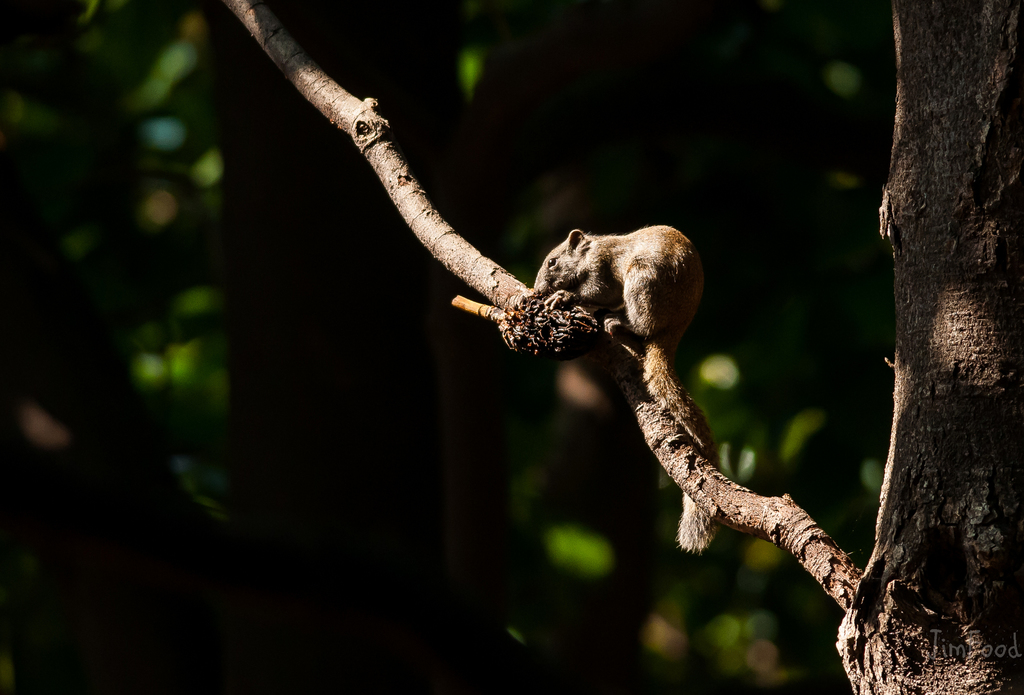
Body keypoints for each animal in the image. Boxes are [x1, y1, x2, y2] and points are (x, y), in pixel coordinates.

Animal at [535, 225, 717, 553]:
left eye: (552, 262)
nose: (537, 290)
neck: (590, 251)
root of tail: (672, 333)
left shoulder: (602, 269)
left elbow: (599, 291)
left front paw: (564, 296)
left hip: (642, 285)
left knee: (641, 326)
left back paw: (617, 321)